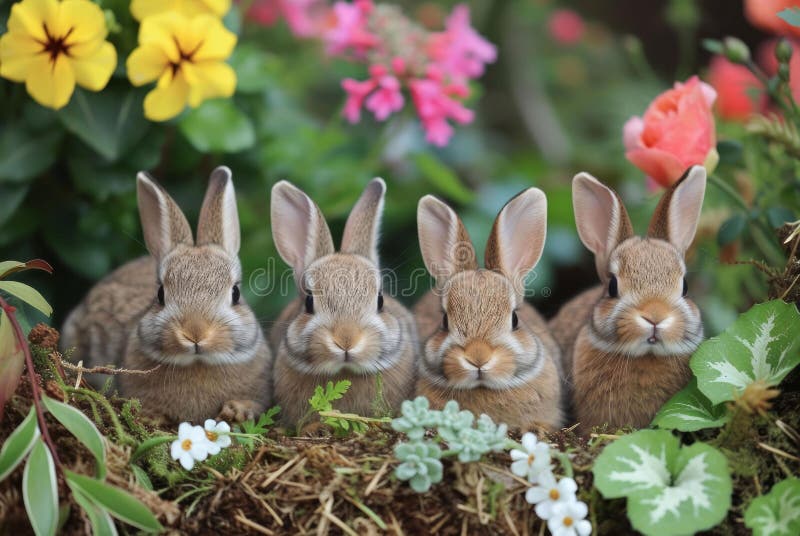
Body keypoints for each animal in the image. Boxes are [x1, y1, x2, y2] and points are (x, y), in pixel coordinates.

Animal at [61, 167, 272, 423]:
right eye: (160, 294)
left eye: (236, 293)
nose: (195, 333)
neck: (197, 363)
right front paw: (151, 415)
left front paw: (237, 410)